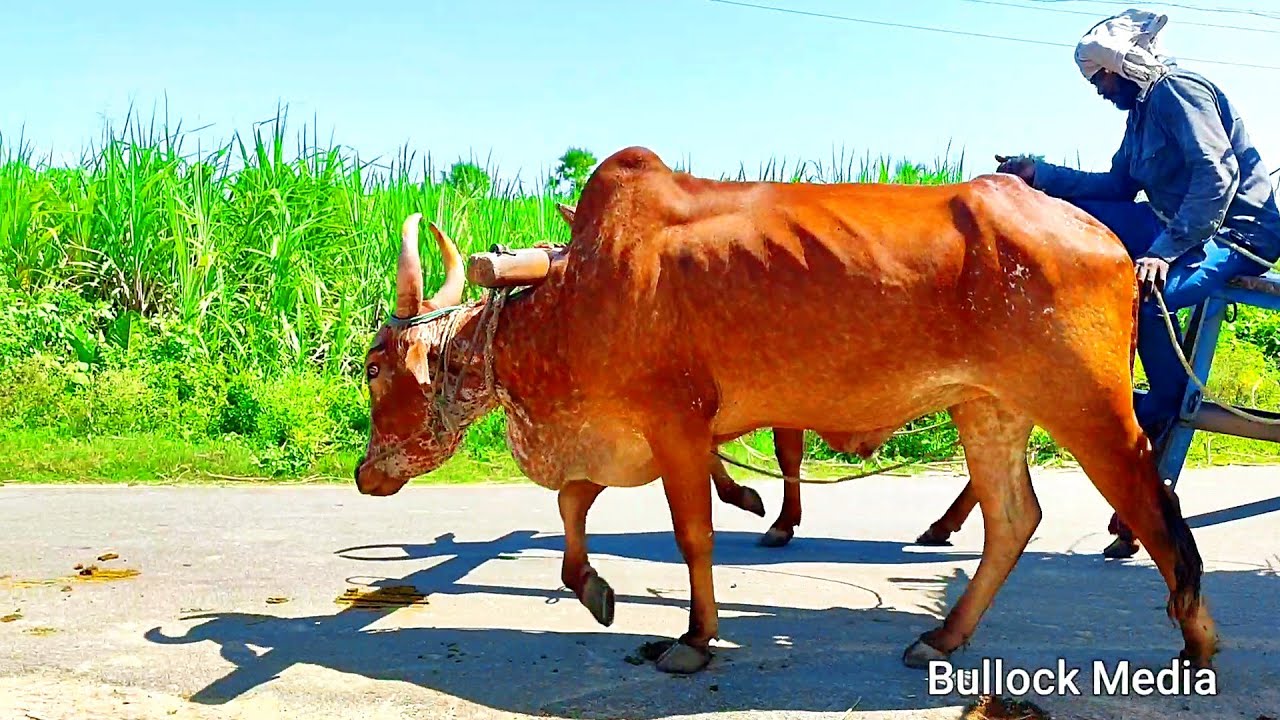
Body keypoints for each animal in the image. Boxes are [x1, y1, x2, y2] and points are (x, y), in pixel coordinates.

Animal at [354, 146, 1217, 676]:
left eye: (371, 366)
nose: (365, 476)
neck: (572, 294)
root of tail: (1114, 243)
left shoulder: (675, 424)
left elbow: (692, 535)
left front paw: (695, 639)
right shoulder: (619, 435)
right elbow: (571, 505)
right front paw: (593, 590)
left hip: (1087, 407)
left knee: (1152, 502)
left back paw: (1197, 636)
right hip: (989, 408)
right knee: (1013, 517)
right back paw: (944, 634)